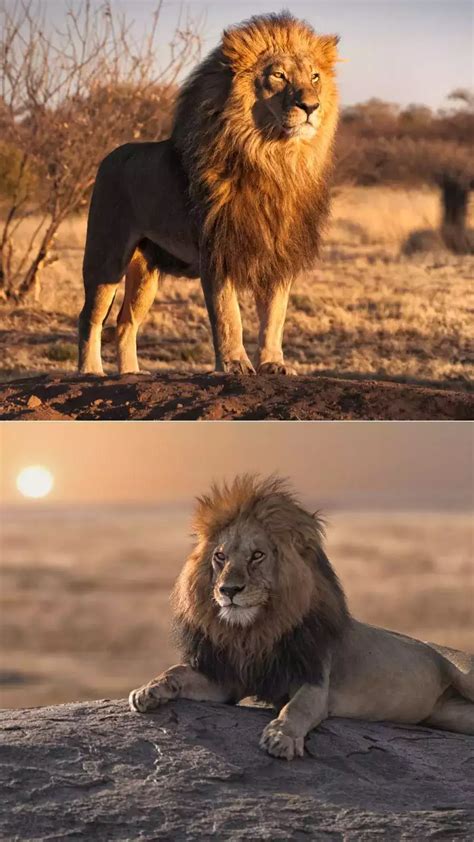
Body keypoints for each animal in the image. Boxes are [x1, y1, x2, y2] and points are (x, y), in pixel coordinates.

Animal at [78, 13, 340, 377]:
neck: (274, 159)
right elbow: (228, 315)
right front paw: (234, 364)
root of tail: (109, 156)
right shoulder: (217, 249)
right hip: (107, 256)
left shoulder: (279, 252)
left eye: (314, 77)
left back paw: (131, 373)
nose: (311, 106)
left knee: (125, 322)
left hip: (146, 271)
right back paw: (90, 371)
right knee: (90, 316)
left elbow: (275, 315)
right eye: (278, 75)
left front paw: (273, 363)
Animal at [129, 475, 474, 761]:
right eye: (220, 557)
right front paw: (148, 690)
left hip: (465, 675)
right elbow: (176, 672)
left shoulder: (314, 681)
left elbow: (296, 708)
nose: (229, 590)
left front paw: (280, 737)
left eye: (257, 556)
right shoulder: (229, 680)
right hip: (450, 715)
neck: (255, 631)